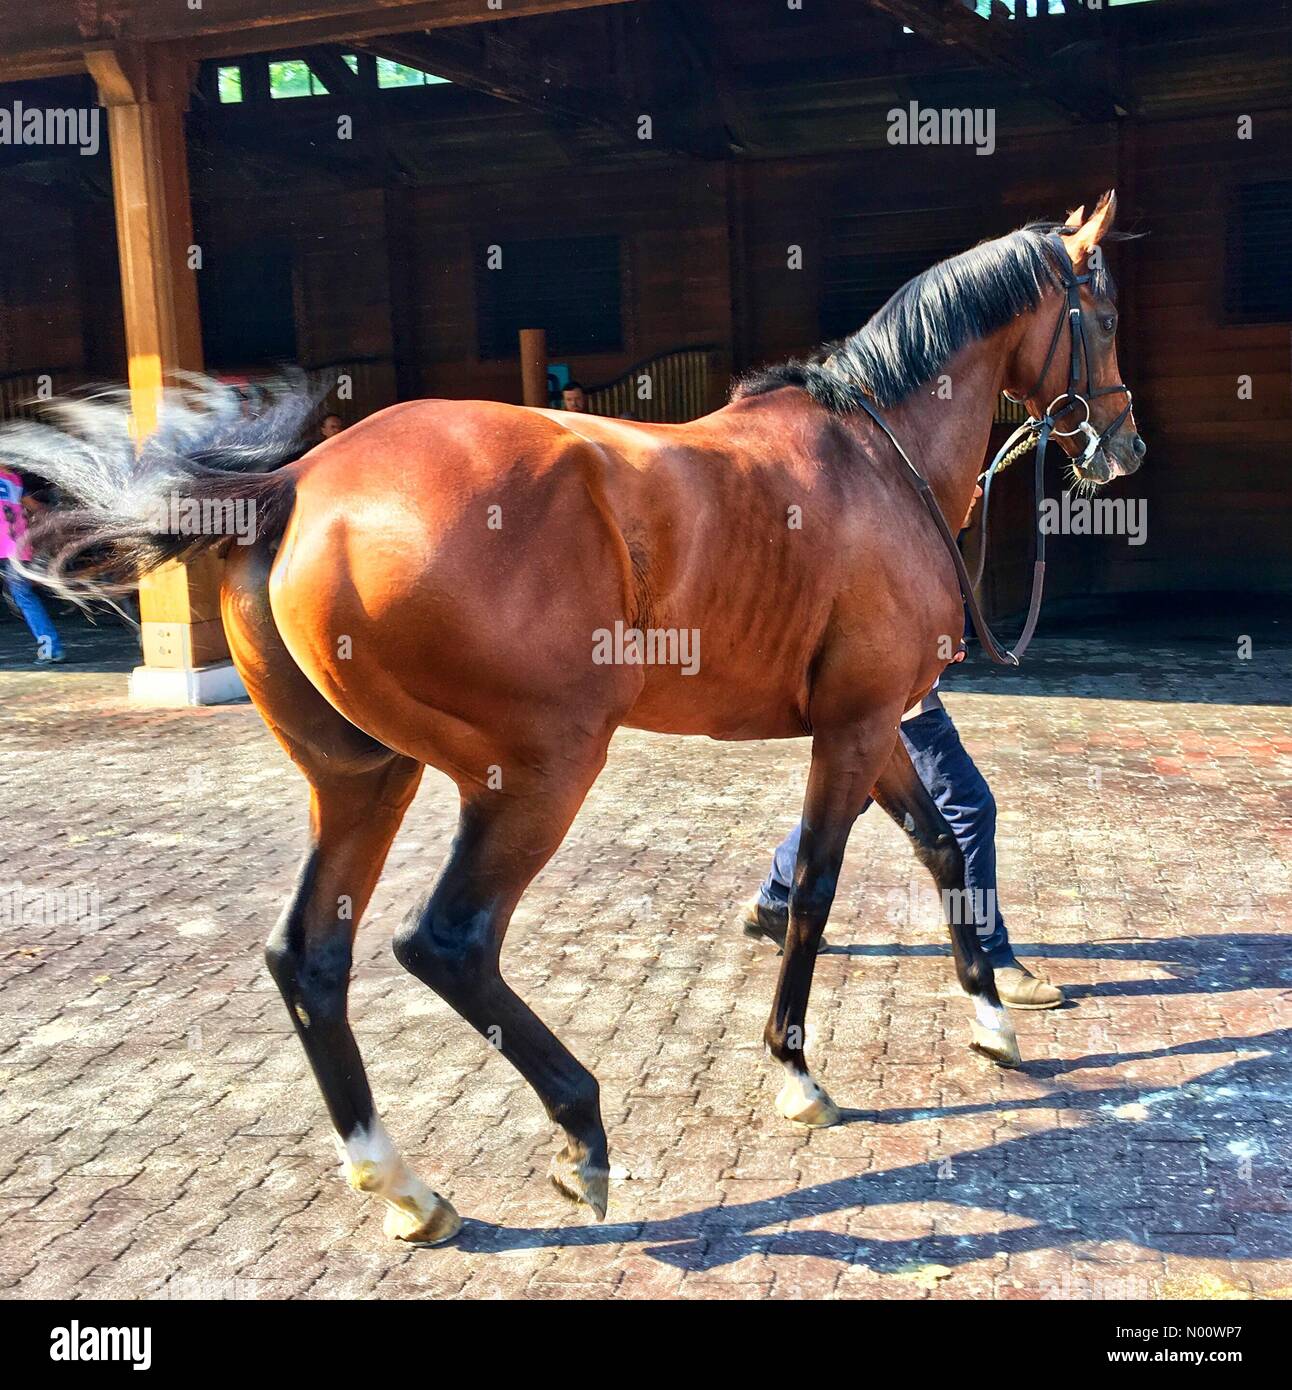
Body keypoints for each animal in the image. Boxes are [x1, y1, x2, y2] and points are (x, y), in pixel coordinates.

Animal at [9, 192, 1143, 1247]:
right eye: (1102, 310)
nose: (1121, 445)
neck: (877, 457)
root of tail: (295, 483)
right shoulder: (857, 724)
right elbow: (822, 891)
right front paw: (795, 1071)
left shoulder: (873, 725)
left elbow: (940, 845)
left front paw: (991, 1016)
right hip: (543, 769)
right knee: (447, 944)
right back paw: (581, 1130)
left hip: (365, 778)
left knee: (310, 959)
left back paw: (402, 1183)